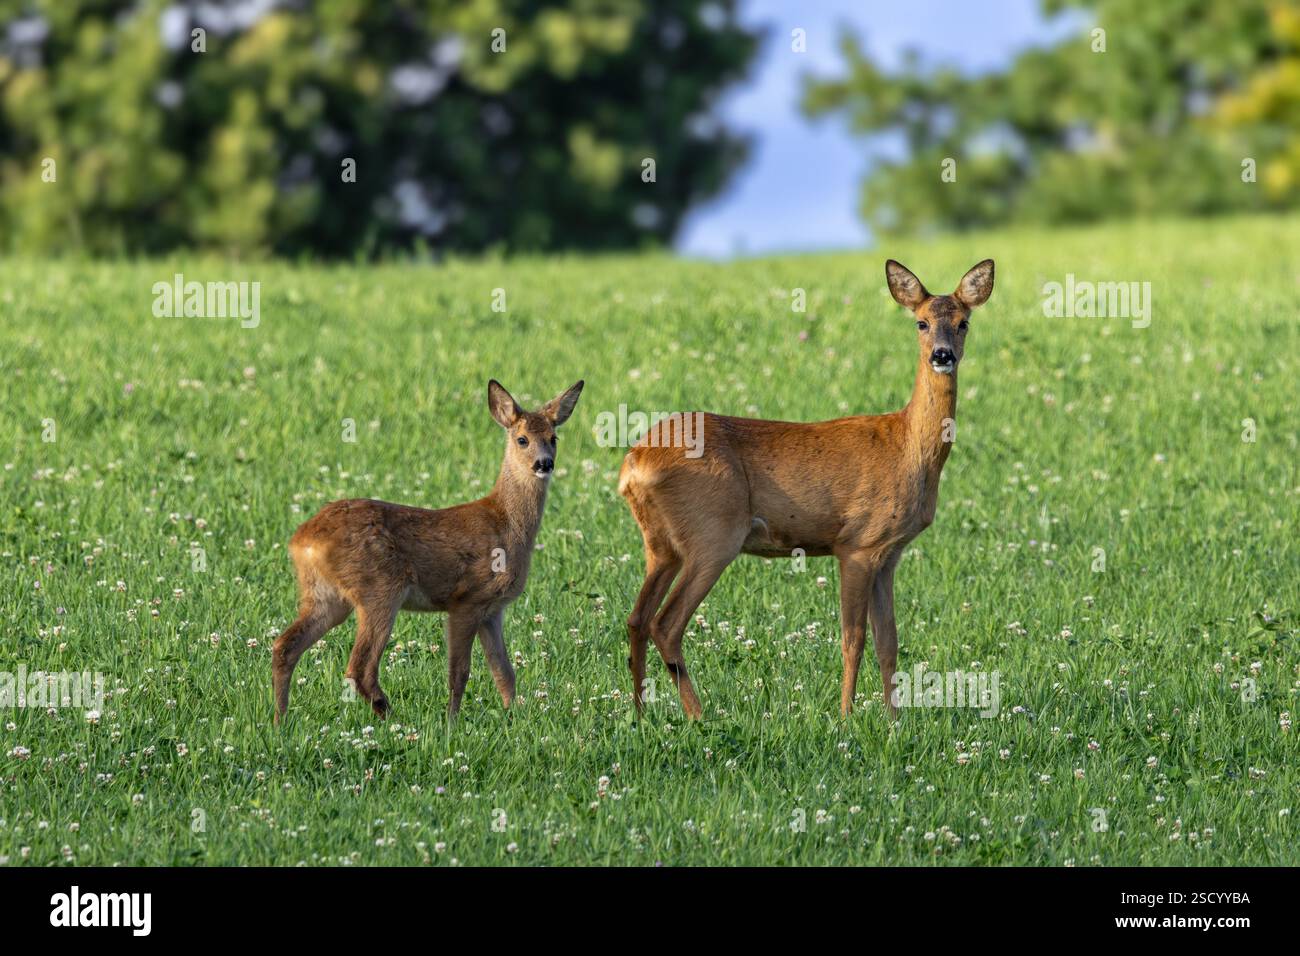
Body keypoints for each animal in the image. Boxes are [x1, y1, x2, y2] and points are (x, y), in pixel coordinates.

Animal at [271, 379, 584, 723]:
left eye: (553, 438)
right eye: (522, 439)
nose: (544, 463)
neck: (506, 522)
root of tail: (302, 541)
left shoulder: (493, 609)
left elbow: (504, 672)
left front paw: (513, 716)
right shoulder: (466, 599)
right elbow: (460, 671)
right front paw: (452, 721)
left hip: (325, 596)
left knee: (285, 646)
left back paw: (280, 720)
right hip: (379, 589)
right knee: (360, 667)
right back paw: (391, 717)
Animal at [619, 259, 993, 720]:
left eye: (963, 322)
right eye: (921, 322)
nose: (942, 355)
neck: (907, 446)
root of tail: (633, 463)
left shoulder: (888, 554)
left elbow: (889, 642)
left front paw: (894, 721)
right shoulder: (856, 543)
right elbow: (853, 639)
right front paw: (847, 717)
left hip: (662, 544)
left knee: (637, 618)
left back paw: (640, 715)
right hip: (713, 534)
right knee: (665, 623)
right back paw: (699, 716)